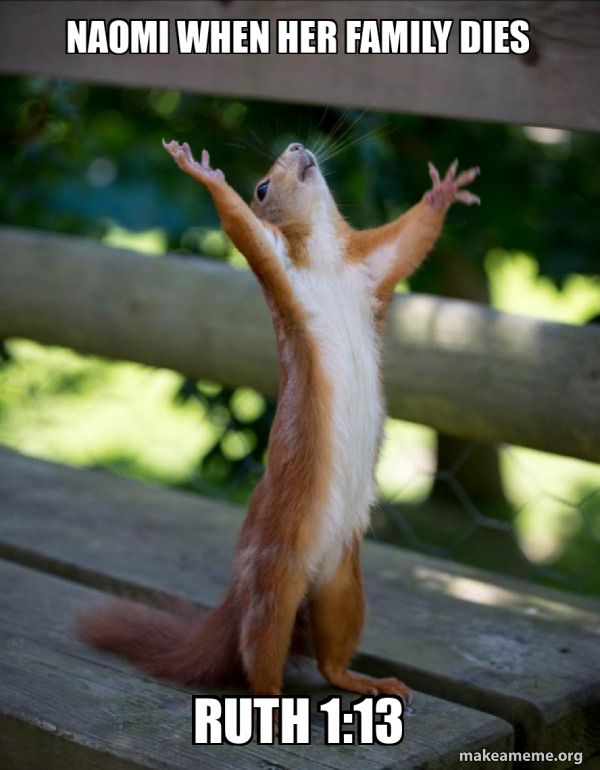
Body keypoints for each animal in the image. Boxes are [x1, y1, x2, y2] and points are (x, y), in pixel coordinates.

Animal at [78, 138, 479, 716]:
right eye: (262, 187)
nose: (296, 146)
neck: (327, 258)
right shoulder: (276, 264)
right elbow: (240, 225)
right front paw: (204, 174)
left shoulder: (372, 267)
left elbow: (410, 240)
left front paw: (443, 192)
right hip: (274, 583)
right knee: (259, 656)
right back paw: (270, 704)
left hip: (343, 585)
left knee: (331, 657)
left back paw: (364, 680)